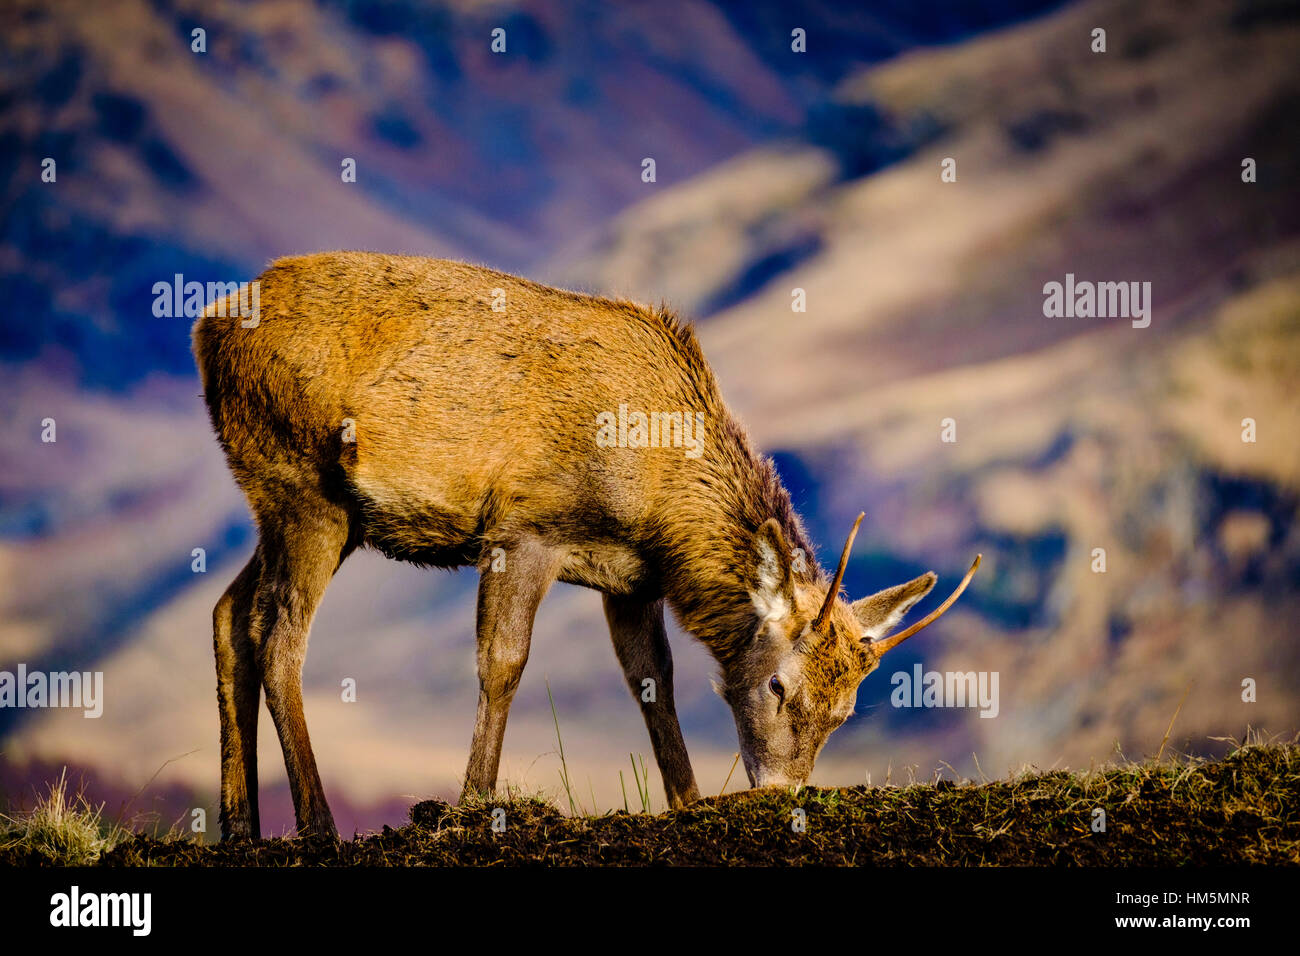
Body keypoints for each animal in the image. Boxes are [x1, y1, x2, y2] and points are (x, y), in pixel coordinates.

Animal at [193, 251, 981, 840]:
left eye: (845, 712)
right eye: (778, 685)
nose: (782, 791)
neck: (657, 504)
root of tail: (208, 327)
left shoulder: (632, 579)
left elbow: (654, 680)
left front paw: (689, 802)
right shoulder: (525, 529)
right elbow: (504, 663)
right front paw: (471, 805)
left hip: (294, 504)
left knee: (229, 612)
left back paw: (240, 827)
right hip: (304, 488)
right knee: (278, 635)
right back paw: (318, 825)